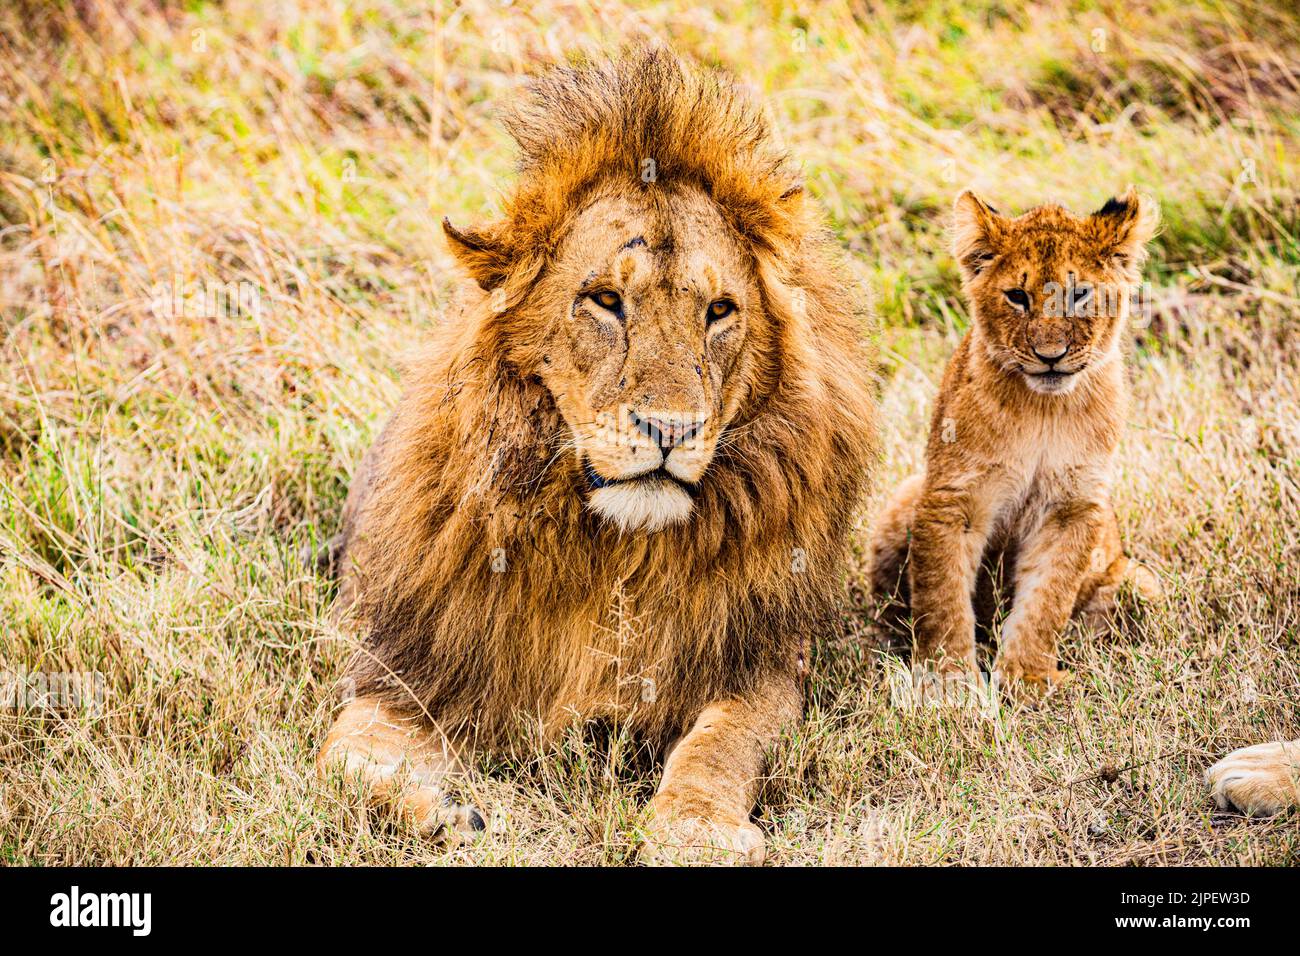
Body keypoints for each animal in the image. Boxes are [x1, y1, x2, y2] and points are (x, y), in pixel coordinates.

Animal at [315, 50, 877, 864]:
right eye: (606, 301)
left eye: (719, 311)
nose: (670, 429)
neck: (617, 552)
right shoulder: (412, 665)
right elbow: (340, 764)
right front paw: (448, 813)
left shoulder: (763, 659)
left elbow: (721, 742)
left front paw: (695, 829)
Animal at [867, 188, 1161, 694]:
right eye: (1017, 297)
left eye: (1079, 294)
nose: (1050, 356)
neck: (1044, 411)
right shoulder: (952, 497)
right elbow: (942, 595)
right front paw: (947, 682)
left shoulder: (1072, 507)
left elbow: (1047, 600)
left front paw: (1027, 678)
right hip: (900, 504)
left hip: (1141, 583)